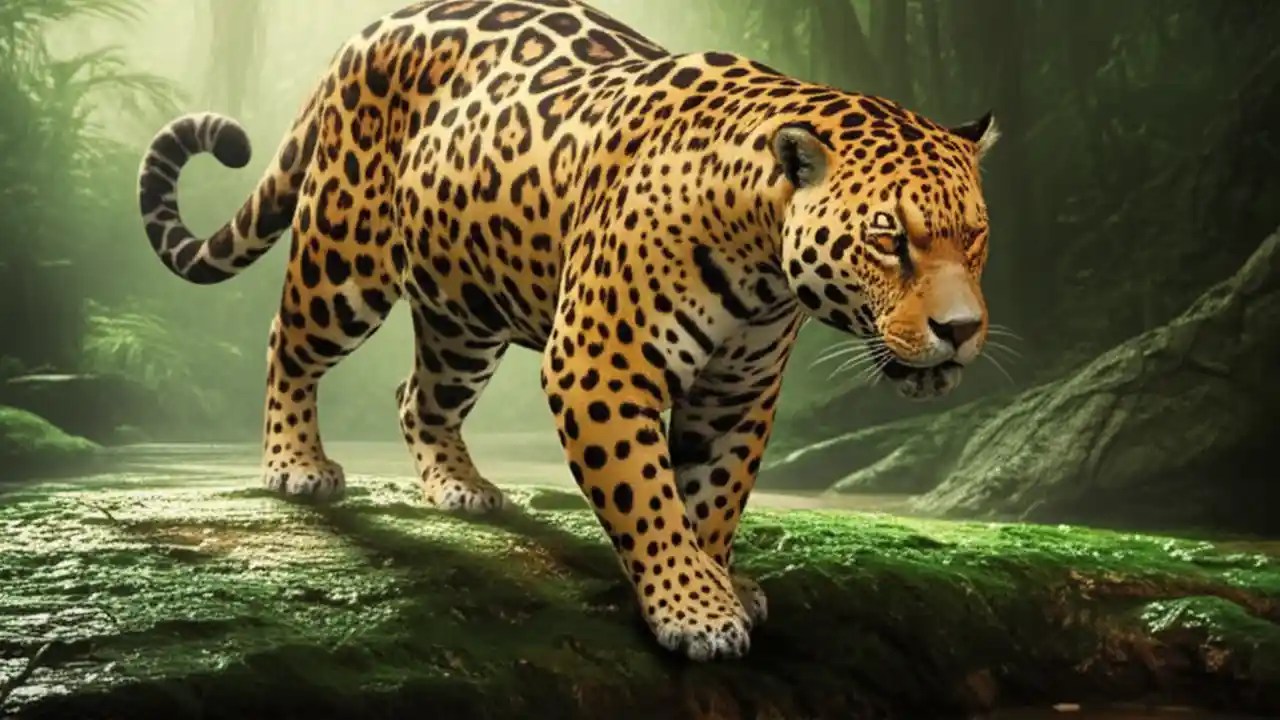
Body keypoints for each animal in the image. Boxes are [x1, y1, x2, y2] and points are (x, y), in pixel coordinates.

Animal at [136, 0, 999, 661]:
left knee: (418, 395)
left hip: (465, 313)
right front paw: (694, 610)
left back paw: (461, 487)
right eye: (889, 239)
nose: (961, 330)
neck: (762, 262)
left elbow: (715, 499)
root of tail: (373, 26)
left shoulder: (738, 393)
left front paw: (721, 579)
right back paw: (296, 465)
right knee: (288, 343)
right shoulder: (600, 365)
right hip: (345, 258)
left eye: (977, 235)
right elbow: (648, 497)